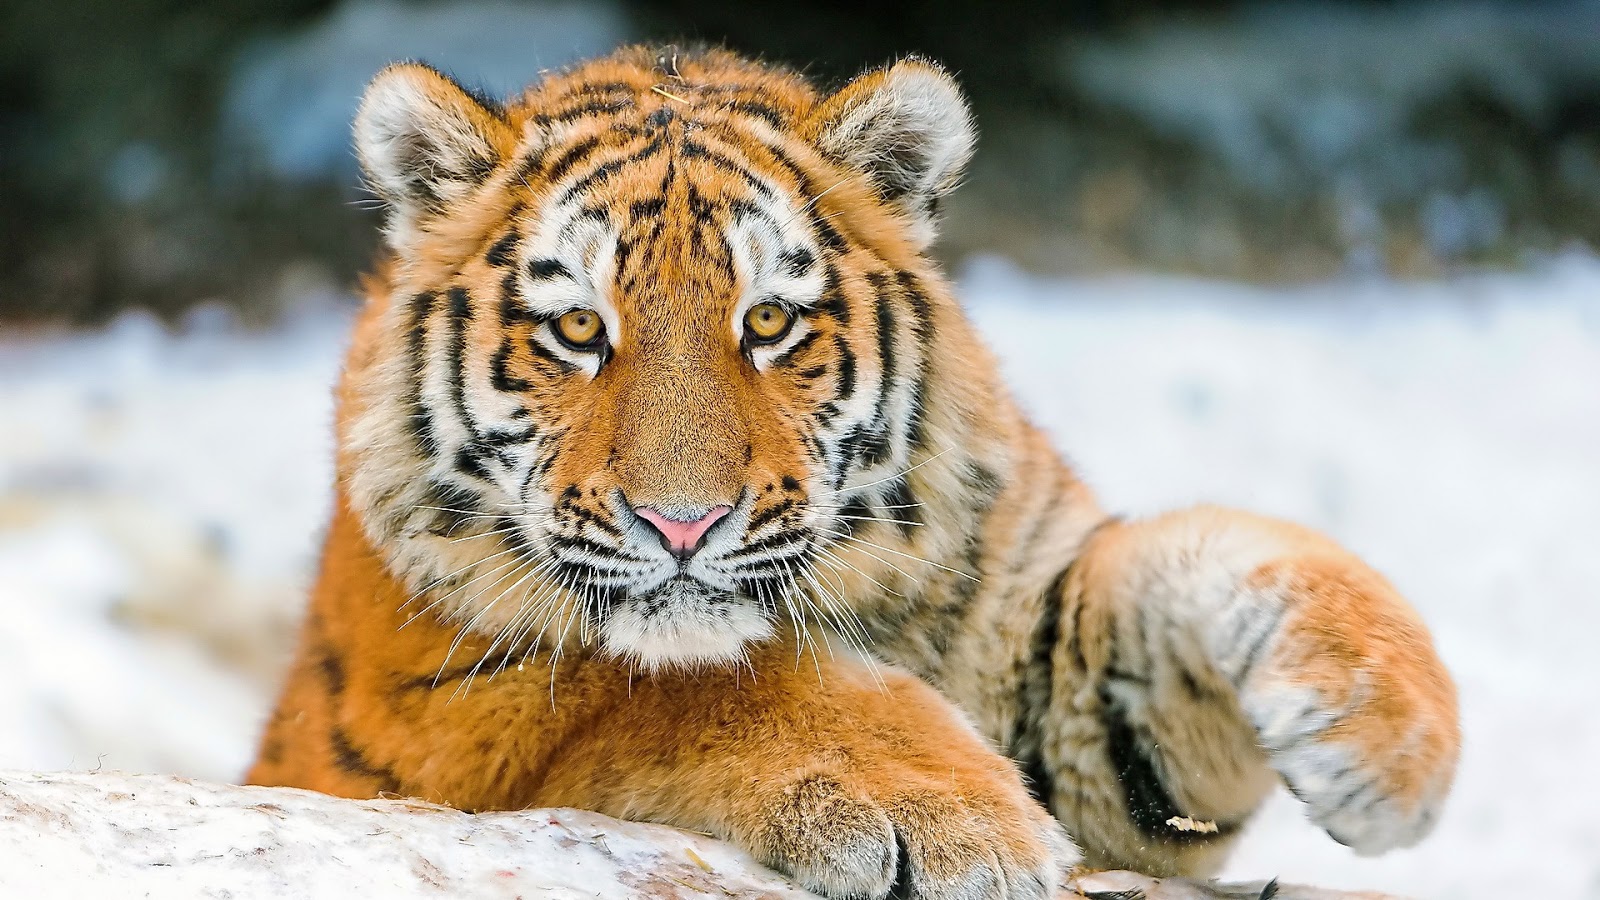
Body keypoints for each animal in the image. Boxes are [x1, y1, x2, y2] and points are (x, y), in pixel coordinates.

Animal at [247, 45, 1460, 899]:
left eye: (768, 322)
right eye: (580, 329)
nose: (680, 525)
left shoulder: (1055, 661)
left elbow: (1209, 550)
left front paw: (1392, 739)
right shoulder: (449, 705)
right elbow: (695, 684)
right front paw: (950, 820)